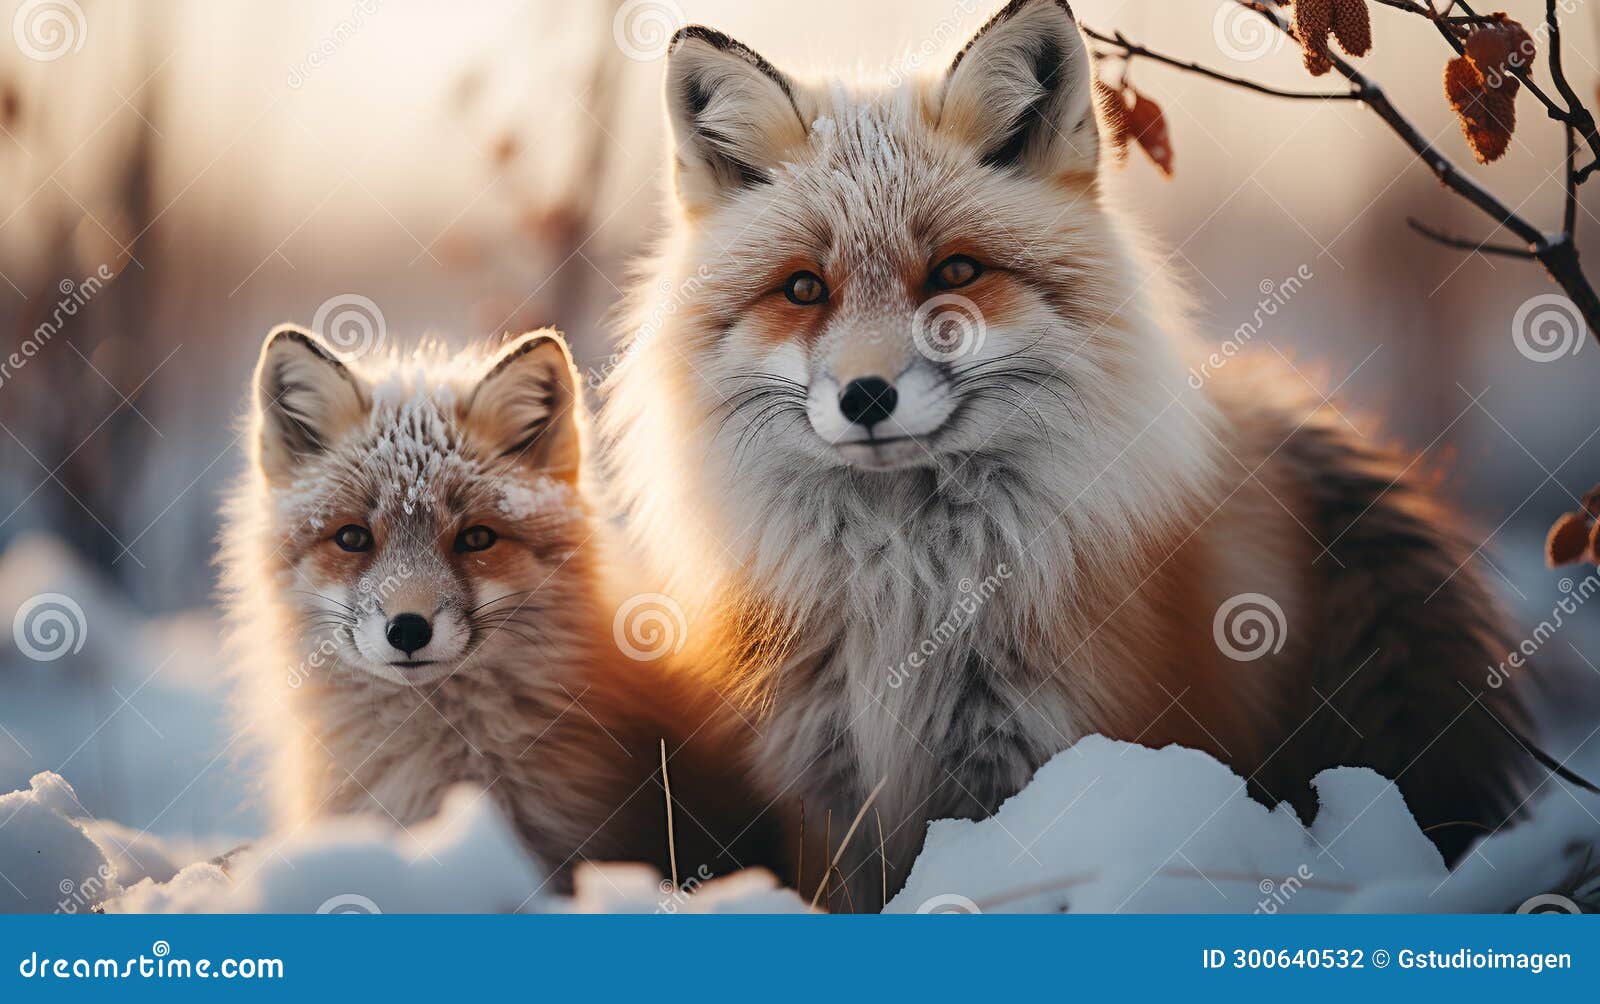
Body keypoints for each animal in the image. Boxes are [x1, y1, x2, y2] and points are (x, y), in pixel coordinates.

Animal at [598, 0, 1536, 911]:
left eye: (956, 272)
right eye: (803, 289)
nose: (865, 398)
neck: (907, 594)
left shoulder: (1042, 752)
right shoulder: (825, 792)